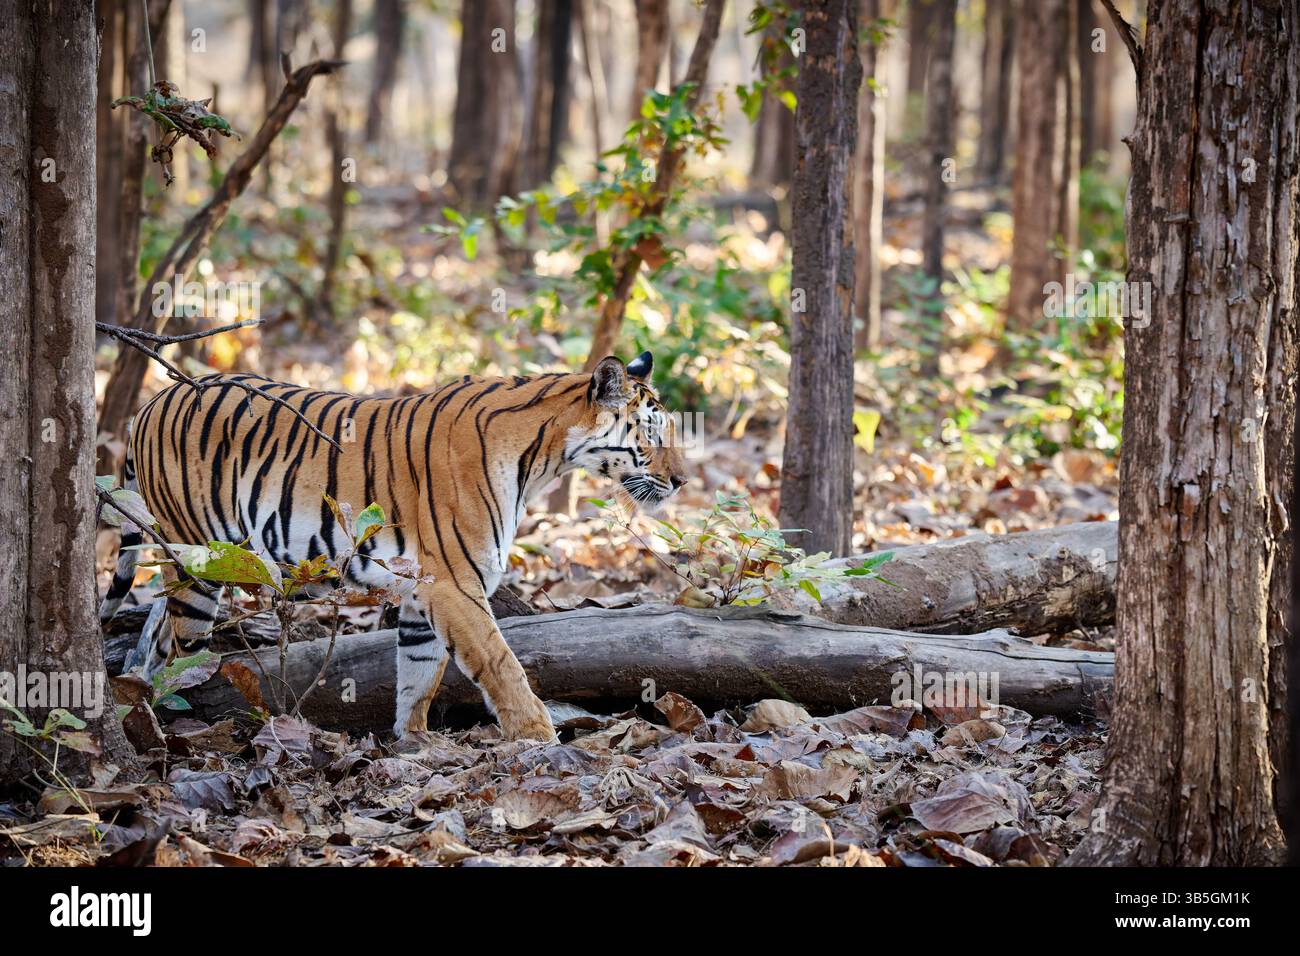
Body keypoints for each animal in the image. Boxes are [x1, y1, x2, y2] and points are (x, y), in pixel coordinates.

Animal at [98, 351, 688, 741]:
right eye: (653, 435)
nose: (683, 481)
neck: (543, 456)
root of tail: (152, 401)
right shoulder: (457, 584)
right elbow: (502, 666)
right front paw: (540, 741)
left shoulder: (422, 590)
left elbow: (419, 675)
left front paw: (415, 748)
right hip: (200, 562)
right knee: (180, 652)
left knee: (153, 632)